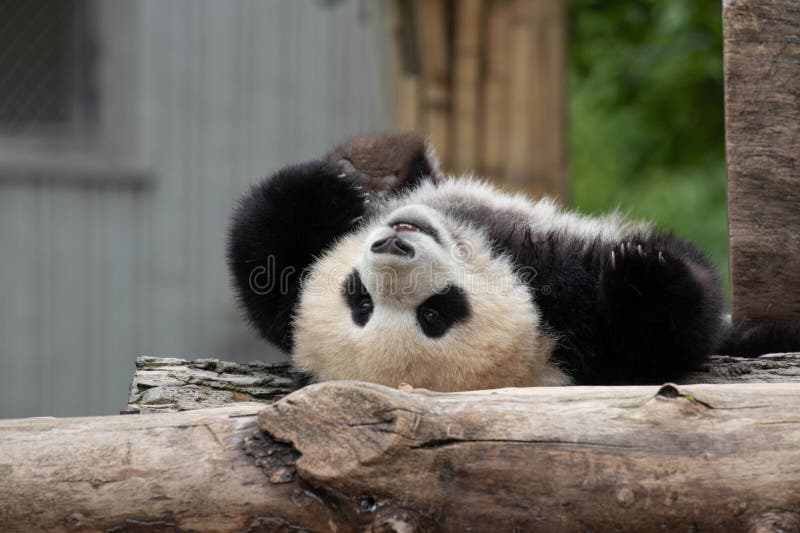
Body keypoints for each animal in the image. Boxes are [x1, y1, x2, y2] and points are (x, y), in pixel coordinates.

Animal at [227, 132, 798, 391]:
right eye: (436, 314)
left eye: (357, 300)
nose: (395, 247)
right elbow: (676, 334)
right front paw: (643, 274)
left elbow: (264, 262)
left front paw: (340, 185)